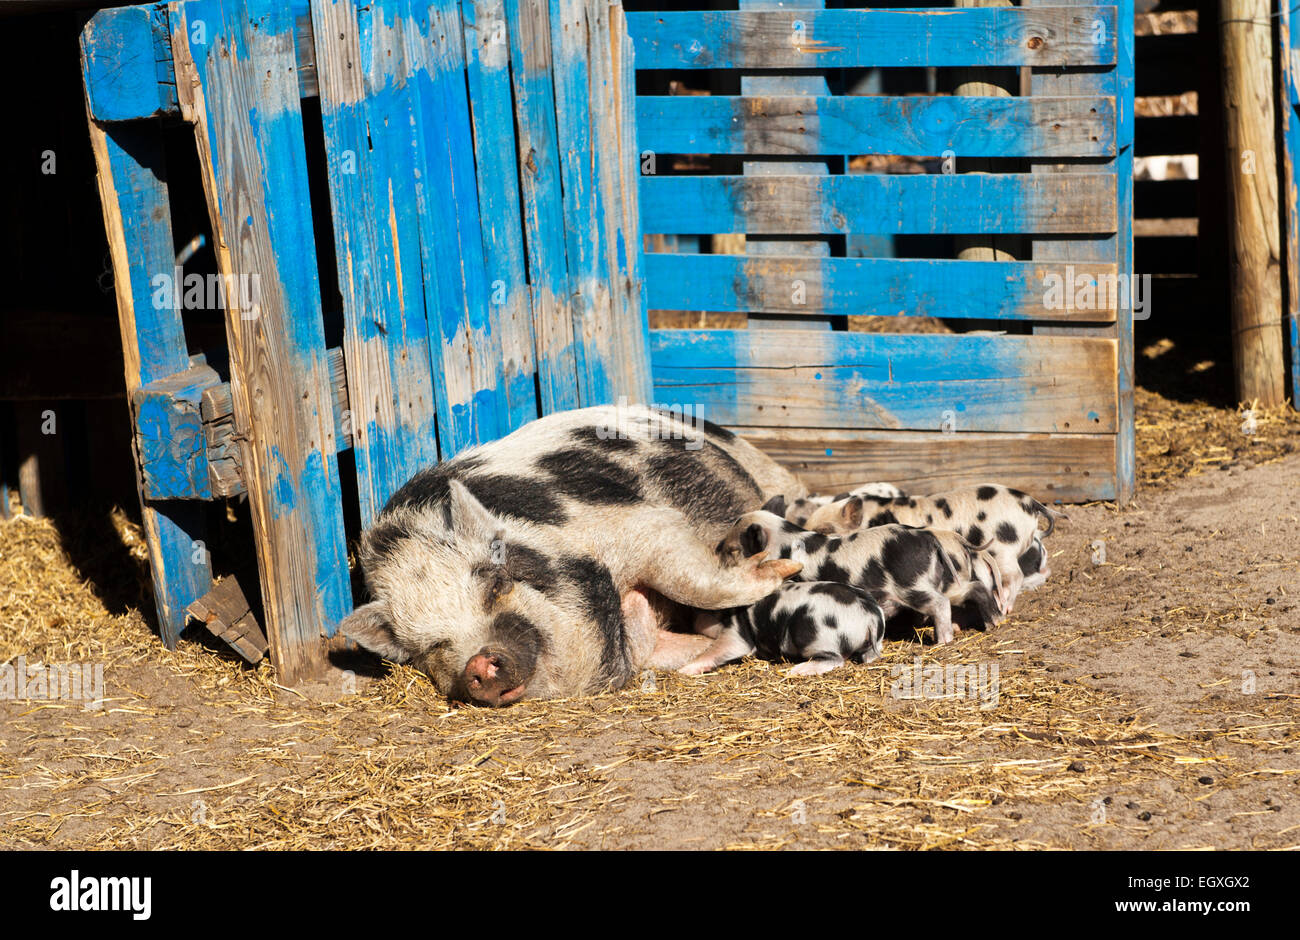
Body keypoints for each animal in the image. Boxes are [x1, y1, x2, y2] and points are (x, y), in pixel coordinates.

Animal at [340, 405, 806, 705]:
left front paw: (784, 569)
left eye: (497, 584)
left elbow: (692, 580)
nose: (479, 662)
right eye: (433, 645)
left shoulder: (645, 524)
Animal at [679, 581, 887, 677]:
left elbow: (723, 647)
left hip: (813, 634)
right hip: (874, 644)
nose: (691, 617)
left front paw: (683, 670)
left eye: (706, 610)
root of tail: (870, 615)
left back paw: (797, 671)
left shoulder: (737, 632)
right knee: (870, 655)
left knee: (835, 660)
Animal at [718, 511, 1004, 645]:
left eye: (733, 549)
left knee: (940, 604)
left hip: (912, 585)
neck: (785, 542)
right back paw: (994, 623)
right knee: (976, 588)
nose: (716, 550)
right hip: (946, 581)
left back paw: (942, 640)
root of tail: (926, 536)